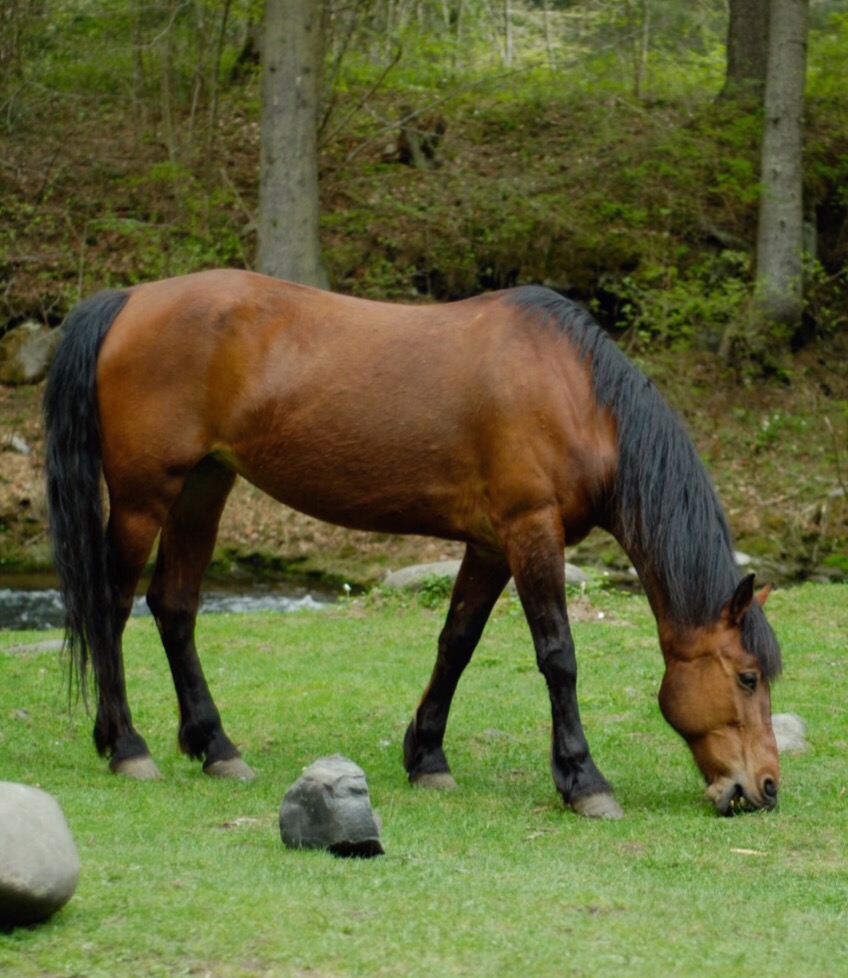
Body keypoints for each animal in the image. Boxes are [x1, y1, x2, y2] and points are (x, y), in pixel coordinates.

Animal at [43, 269, 782, 818]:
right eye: (747, 677)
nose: (765, 789)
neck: (578, 395)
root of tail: (130, 299)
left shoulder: (490, 546)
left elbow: (456, 644)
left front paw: (426, 757)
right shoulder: (531, 532)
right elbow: (558, 657)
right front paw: (583, 781)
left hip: (204, 484)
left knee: (174, 606)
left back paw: (216, 746)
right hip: (144, 497)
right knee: (111, 608)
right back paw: (126, 746)